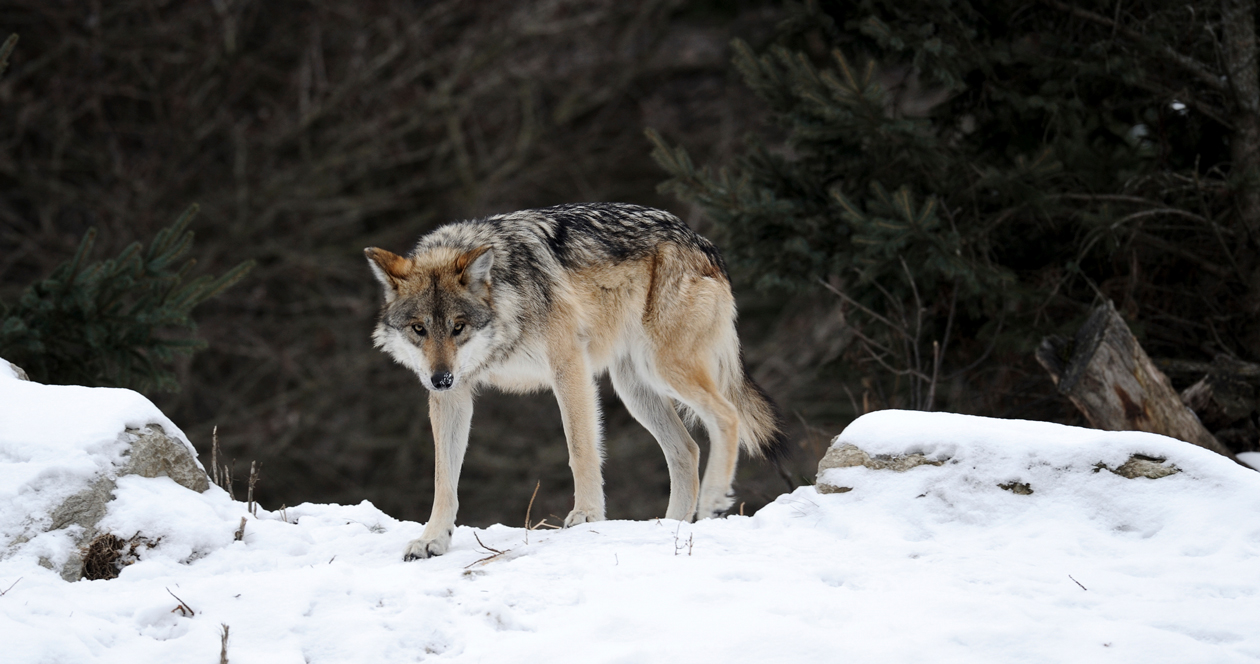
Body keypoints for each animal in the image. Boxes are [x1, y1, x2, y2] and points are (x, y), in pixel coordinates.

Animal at [365, 203, 785, 560]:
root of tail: (703, 242)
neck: (506, 296)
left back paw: (713, 498)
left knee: (727, 416)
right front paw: (432, 538)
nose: (440, 378)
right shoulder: (455, 397)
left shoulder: (569, 365)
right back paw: (672, 527)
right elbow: (444, 479)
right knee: (686, 450)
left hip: (666, 368)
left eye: (458, 327)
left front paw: (586, 516)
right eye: (419, 329)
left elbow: (580, 449)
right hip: (635, 389)